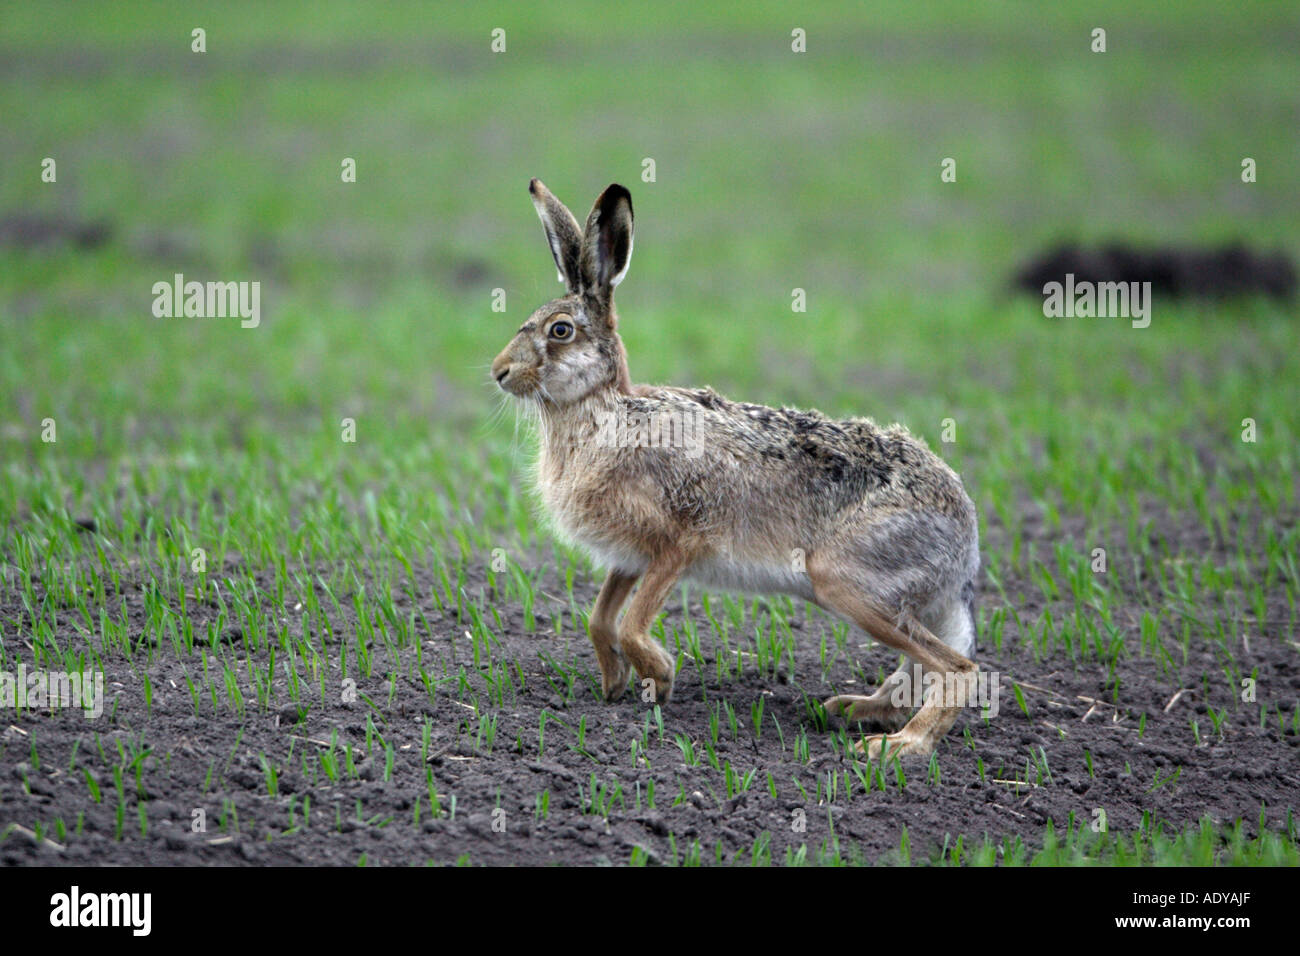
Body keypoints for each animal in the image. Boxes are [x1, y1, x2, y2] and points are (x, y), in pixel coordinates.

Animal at [491, 179, 981, 757]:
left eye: (561, 330)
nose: (499, 371)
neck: (604, 410)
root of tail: (966, 538)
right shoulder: (630, 555)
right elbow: (600, 618)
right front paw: (615, 684)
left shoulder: (678, 542)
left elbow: (631, 622)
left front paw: (661, 676)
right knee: (919, 664)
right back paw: (856, 710)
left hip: (845, 582)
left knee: (957, 668)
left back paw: (901, 745)